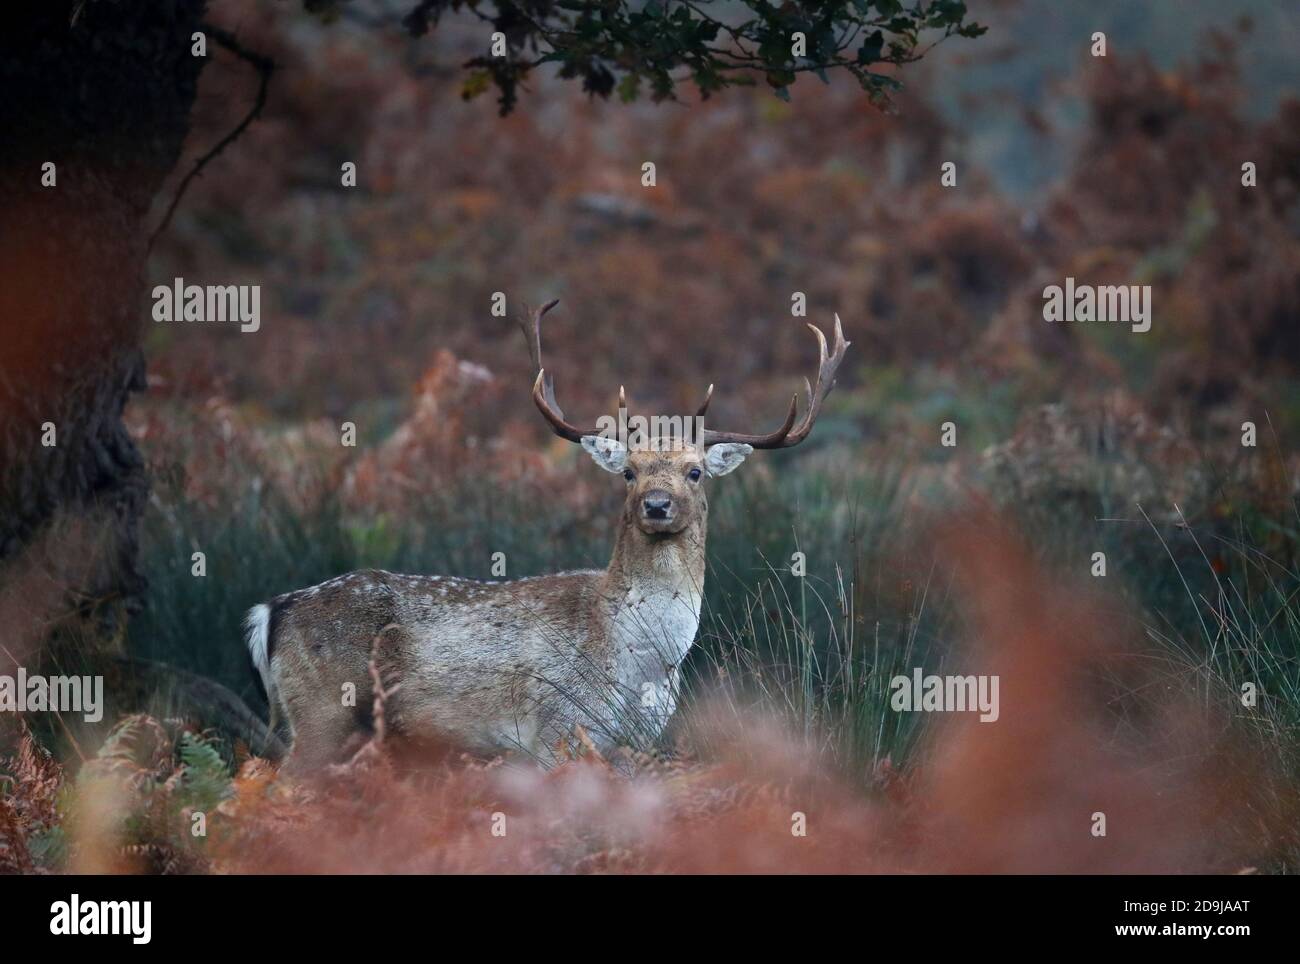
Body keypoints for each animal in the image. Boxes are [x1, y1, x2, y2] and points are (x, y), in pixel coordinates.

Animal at [244, 301, 848, 771]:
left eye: (695, 471)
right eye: (629, 472)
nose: (656, 505)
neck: (642, 659)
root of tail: (271, 610)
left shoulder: (635, 739)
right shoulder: (555, 727)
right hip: (322, 711)